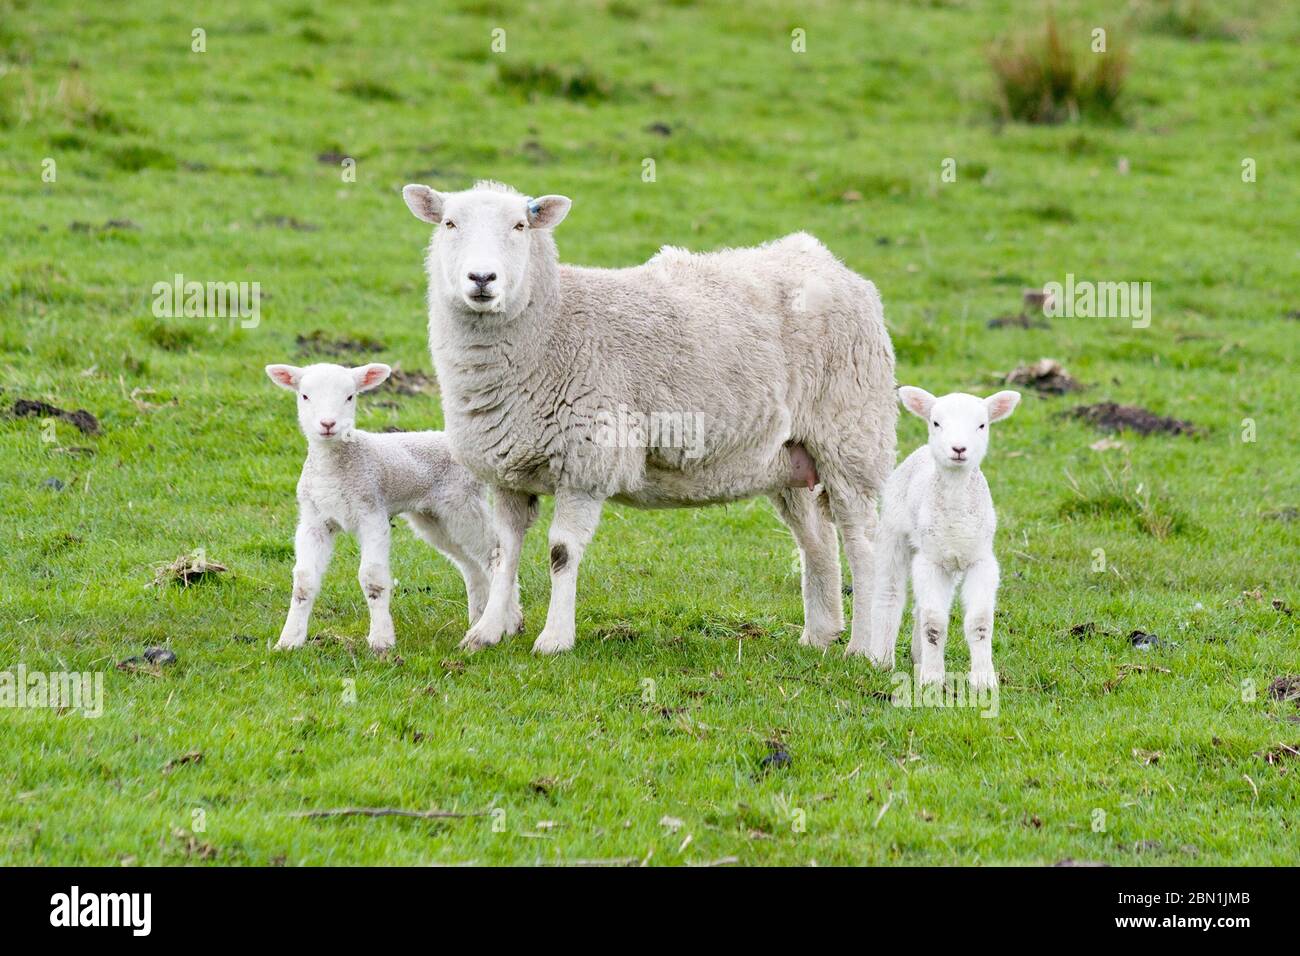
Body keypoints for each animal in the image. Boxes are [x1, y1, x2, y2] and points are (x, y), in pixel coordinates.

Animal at [264, 361, 512, 652]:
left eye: (350, 397)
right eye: (304, 396)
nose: (328, 424)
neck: (334, 467)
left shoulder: (371, 512)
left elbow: (373, 578)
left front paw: (381, 640)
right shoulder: (314, 520)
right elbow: (303, 581)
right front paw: (289, 640)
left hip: (463, 503)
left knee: (494, 555)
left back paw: (507, 623)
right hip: (433, 517)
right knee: (470, 565)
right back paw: (477, 619)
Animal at [401, 179, 897, 655]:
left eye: (520, 226)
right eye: (449, 223)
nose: (482, 278)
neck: (554, 327)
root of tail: (826, 260)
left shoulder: (586, 462)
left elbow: (561, 553)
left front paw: (554, 640)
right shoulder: (508, 468)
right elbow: (504, 551)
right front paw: (487, 632)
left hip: (851, 434)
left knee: (864, 542)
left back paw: (864, 648)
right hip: (790, 454)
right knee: (817, 539)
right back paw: (821, 634)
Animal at [846, 386, 1021, 689]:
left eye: (982, 425)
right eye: (936, 423)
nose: (959, 449)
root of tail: (921, 452)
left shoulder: (979, 560)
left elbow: (979, 621)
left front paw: (983, 679)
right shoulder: (930, 562)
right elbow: (934, 623)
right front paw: (932, 679)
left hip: (946, 559)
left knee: (919, 607)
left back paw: (917, 656)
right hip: (894, 531)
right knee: (889, 593)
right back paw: (881, 659)